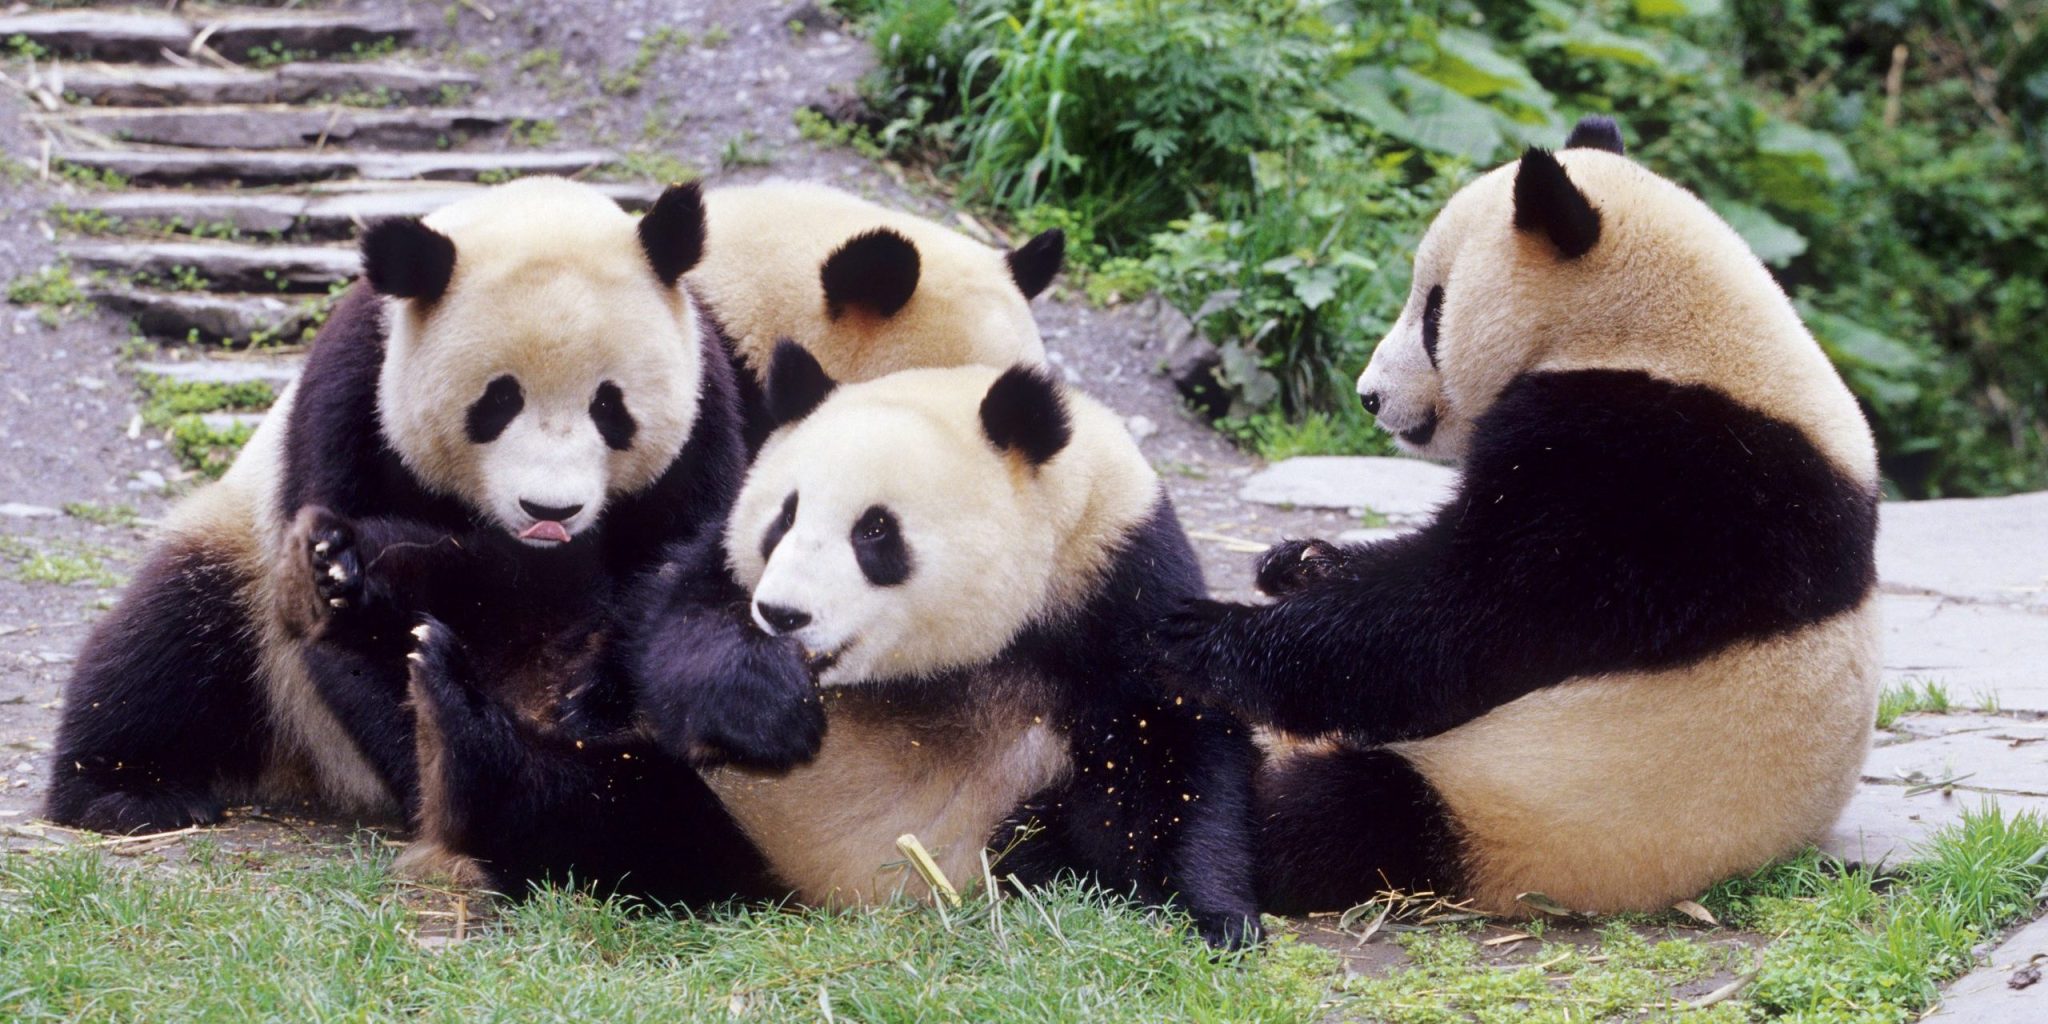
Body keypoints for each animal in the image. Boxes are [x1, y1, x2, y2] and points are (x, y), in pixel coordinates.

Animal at [44, 177, 762, 895]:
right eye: (497, 402)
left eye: (610, 407)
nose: (549, 509)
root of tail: (311, 773)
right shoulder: (357, 394)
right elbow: (348, 628)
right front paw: (433, 744)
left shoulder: (704, 414)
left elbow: (678, 594)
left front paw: (579, 709)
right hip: (244, 569)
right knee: (168, 641)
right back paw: (130, 792)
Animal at [570, 343, 1260, 945]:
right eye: (783, 518)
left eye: (875, 530)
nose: (783, 614)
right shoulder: (715, 563)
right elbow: (670, 625)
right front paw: (767, 709)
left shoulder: (1118, 587)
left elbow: (1172, 755)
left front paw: (1210, 920)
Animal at [1160, 117, 1881, 917]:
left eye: (1434, 311)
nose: (1369, 396)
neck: (1663, 336)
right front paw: (1300, 561)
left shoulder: (1660, 482)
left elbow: (1462, 618)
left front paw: (1207, 636)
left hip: (1526, 806)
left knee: (1341, 812)